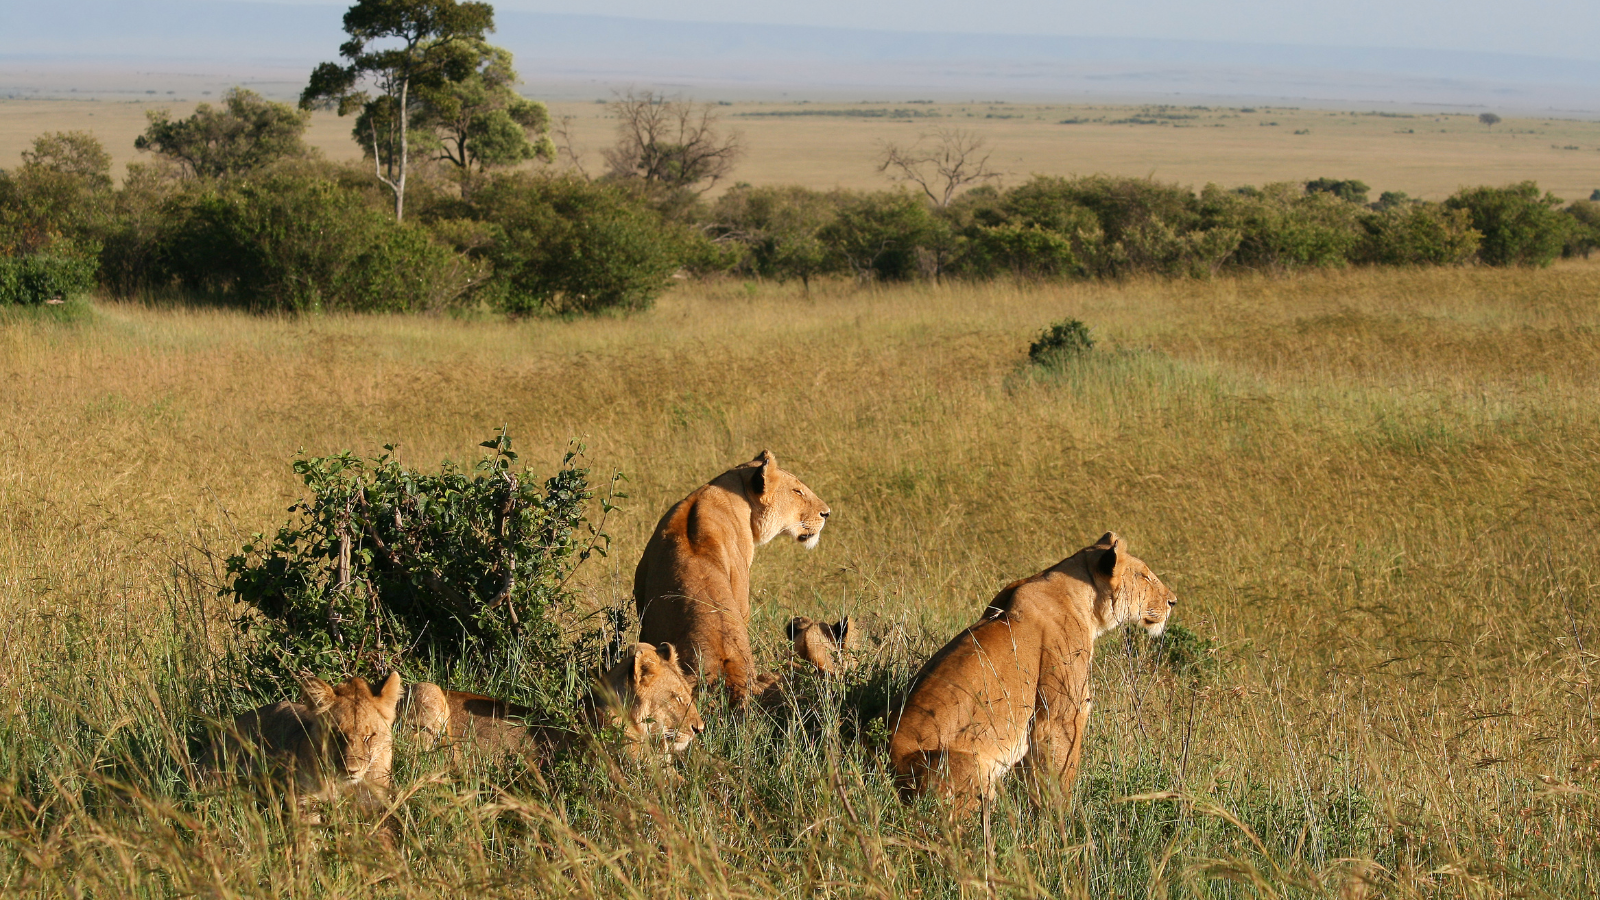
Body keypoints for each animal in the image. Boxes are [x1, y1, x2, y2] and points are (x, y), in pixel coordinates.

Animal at [888, 533, 1176, 813]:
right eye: (1145, 576)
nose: (1173, 601)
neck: (1084, 601)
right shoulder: (1062, 715)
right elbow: (1061, 775)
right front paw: (1062, 818)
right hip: (967, 767)